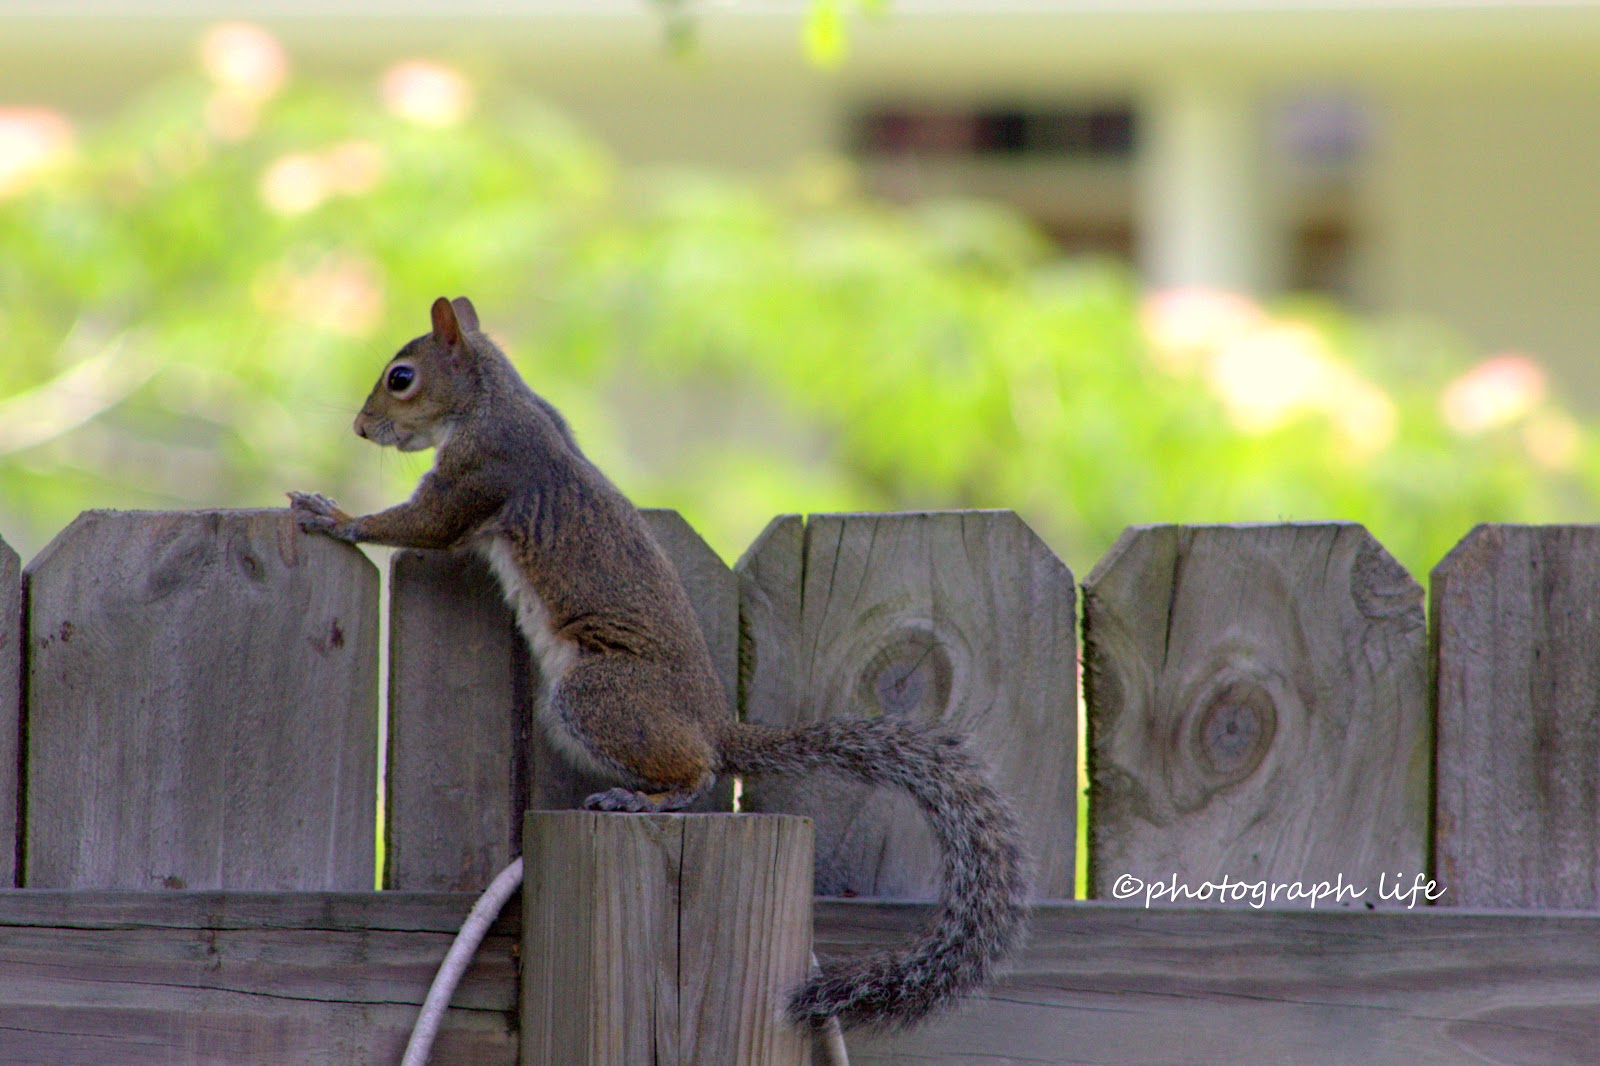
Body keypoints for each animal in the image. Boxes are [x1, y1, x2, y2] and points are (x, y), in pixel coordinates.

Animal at [290, 296, 1030, 1039]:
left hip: (597, 695)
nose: (360, 427)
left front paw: (337, 517)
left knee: (697, 771)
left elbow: (425, 523)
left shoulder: (483, 469)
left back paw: (641, 798)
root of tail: (714, 723)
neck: (494, 396)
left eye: (401, 378)